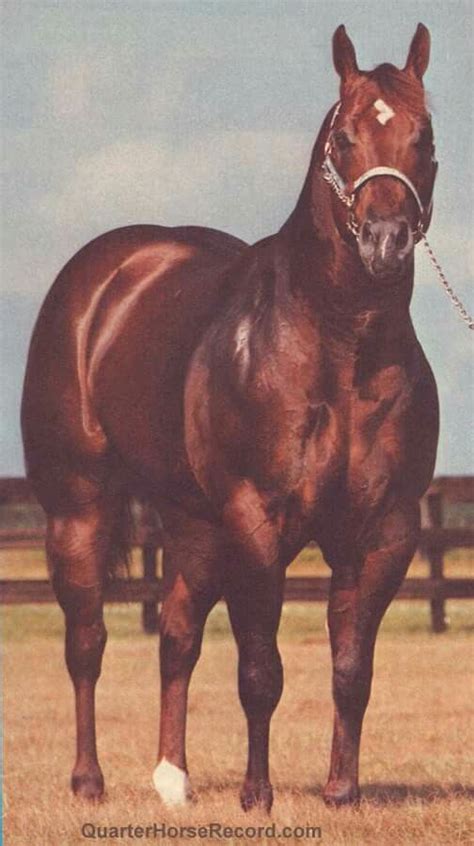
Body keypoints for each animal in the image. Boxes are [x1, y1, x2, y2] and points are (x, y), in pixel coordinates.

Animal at [21, 23, 439, 809]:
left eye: (425, 135)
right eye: (343, 137)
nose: (387, 240)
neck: (339, 348)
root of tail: (102, 278)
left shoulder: (383, 532)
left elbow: (351, 670)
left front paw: (341, 792)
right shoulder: (256, 521)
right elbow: (260, 672)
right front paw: (258, 796)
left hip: (196, 525)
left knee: (177, 635)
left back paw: (172, 779)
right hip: (80, 509)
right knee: (87, 643)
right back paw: (89, 781)